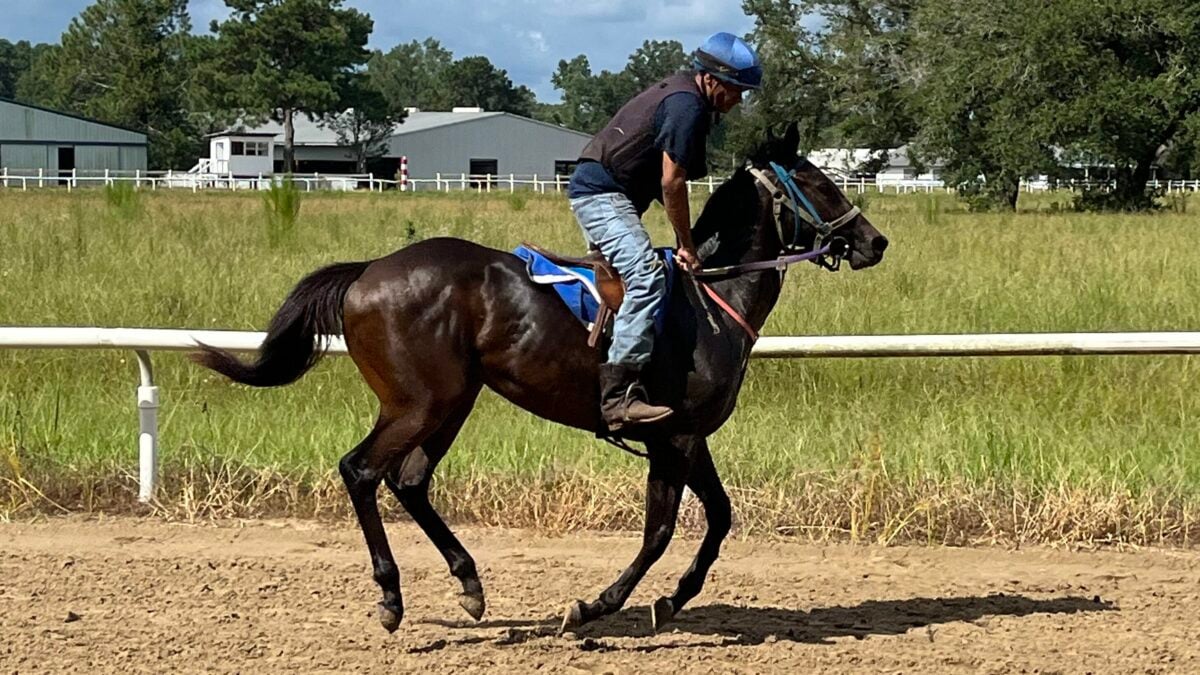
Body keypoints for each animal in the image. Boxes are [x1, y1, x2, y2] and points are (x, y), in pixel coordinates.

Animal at [192, 122, 888, 635]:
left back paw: (470, 583)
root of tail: (368, 271)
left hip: (454, 401)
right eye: (817, 180)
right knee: (361, 471)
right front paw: (601, 605)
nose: (873, 241)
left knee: (409, 481)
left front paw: (662, 601)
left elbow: (703, 522)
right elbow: (672, 528)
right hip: (418, 402)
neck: (712, 298)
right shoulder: (675, 438)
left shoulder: (683, 437)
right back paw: (391, 597)